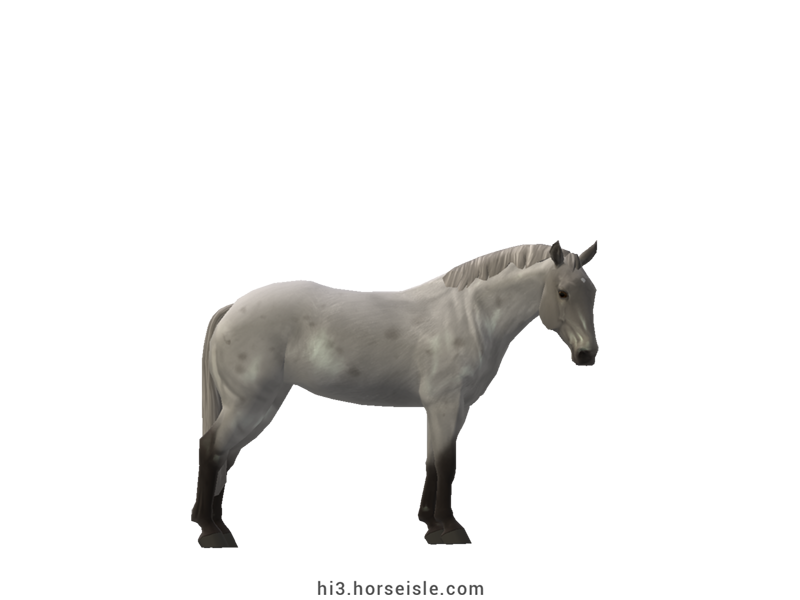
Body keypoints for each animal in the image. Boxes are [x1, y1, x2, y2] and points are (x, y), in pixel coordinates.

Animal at [191, 240, 599, 544]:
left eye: (591, 291)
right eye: (562, 292)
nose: (586, 354)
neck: (471, 315)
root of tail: (232, 309)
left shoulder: (448, 406)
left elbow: (434, 461)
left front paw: (429, 523)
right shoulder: (445, 402)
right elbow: (447, 462)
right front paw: (450, 526)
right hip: (246, 405)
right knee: (211, 447)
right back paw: (210, 531)